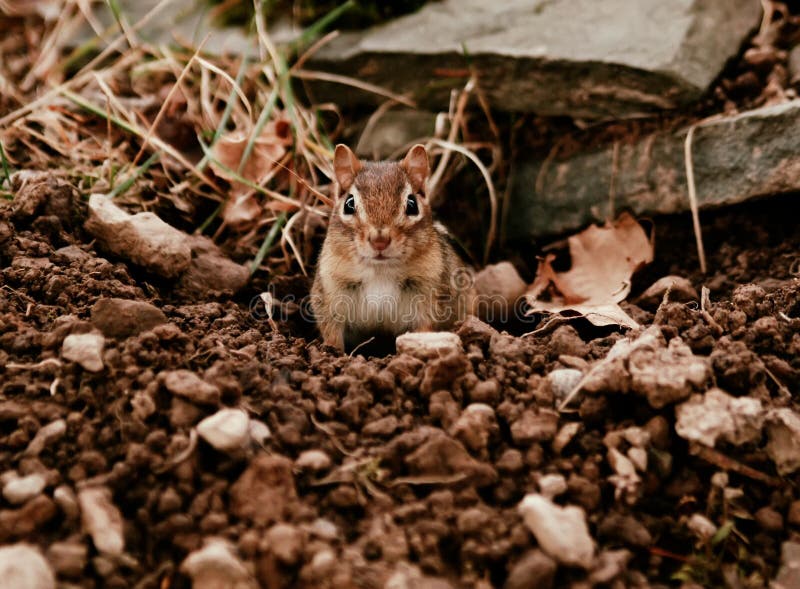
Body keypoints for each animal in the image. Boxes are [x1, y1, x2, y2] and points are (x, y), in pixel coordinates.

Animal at [311, 144, 475, 352]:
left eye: (412, 204)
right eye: (349, 204)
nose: (379, 241)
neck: (380, 271)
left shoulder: (429, 299)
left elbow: (425, 330)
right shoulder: (329, 294)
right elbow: (331, 332)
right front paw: (333, 352)